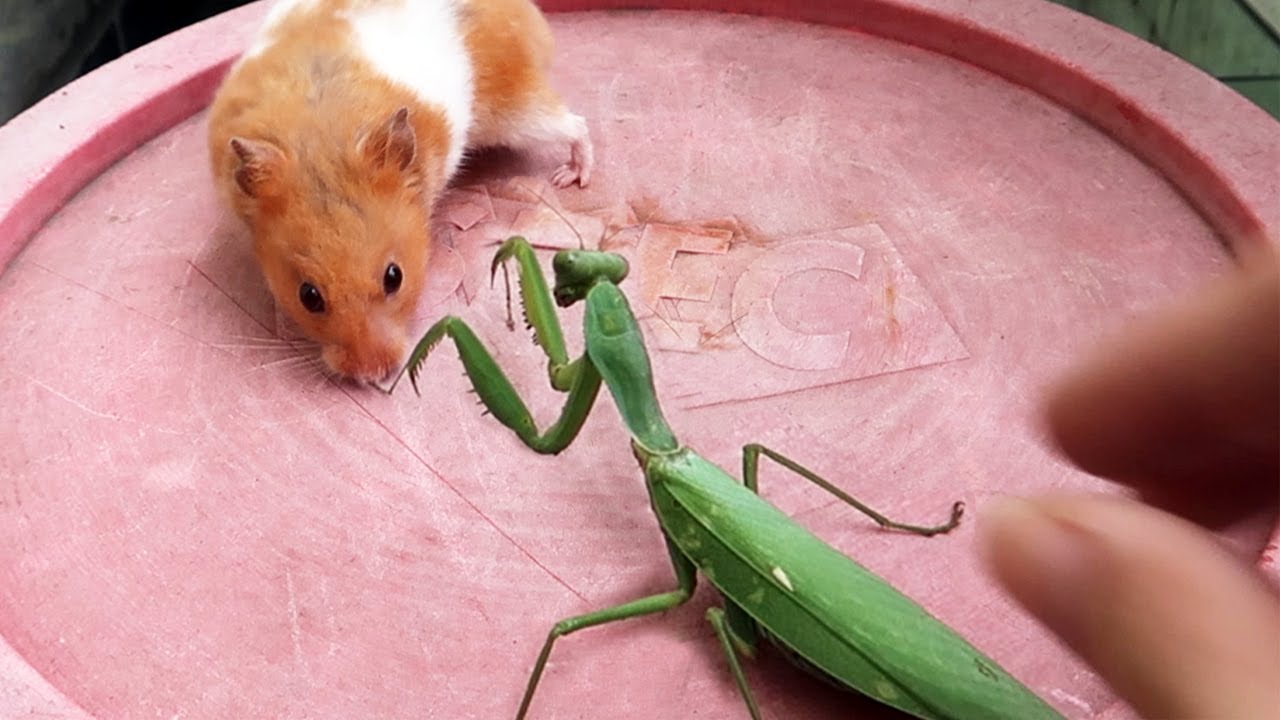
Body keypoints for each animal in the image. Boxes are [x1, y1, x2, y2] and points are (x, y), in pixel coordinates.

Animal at [206, 0, 593, 385]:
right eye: (308, 297)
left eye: (395, 277)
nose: (373, 374)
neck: (320, 141)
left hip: (514, 111)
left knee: (576, 125)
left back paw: (572, 176)